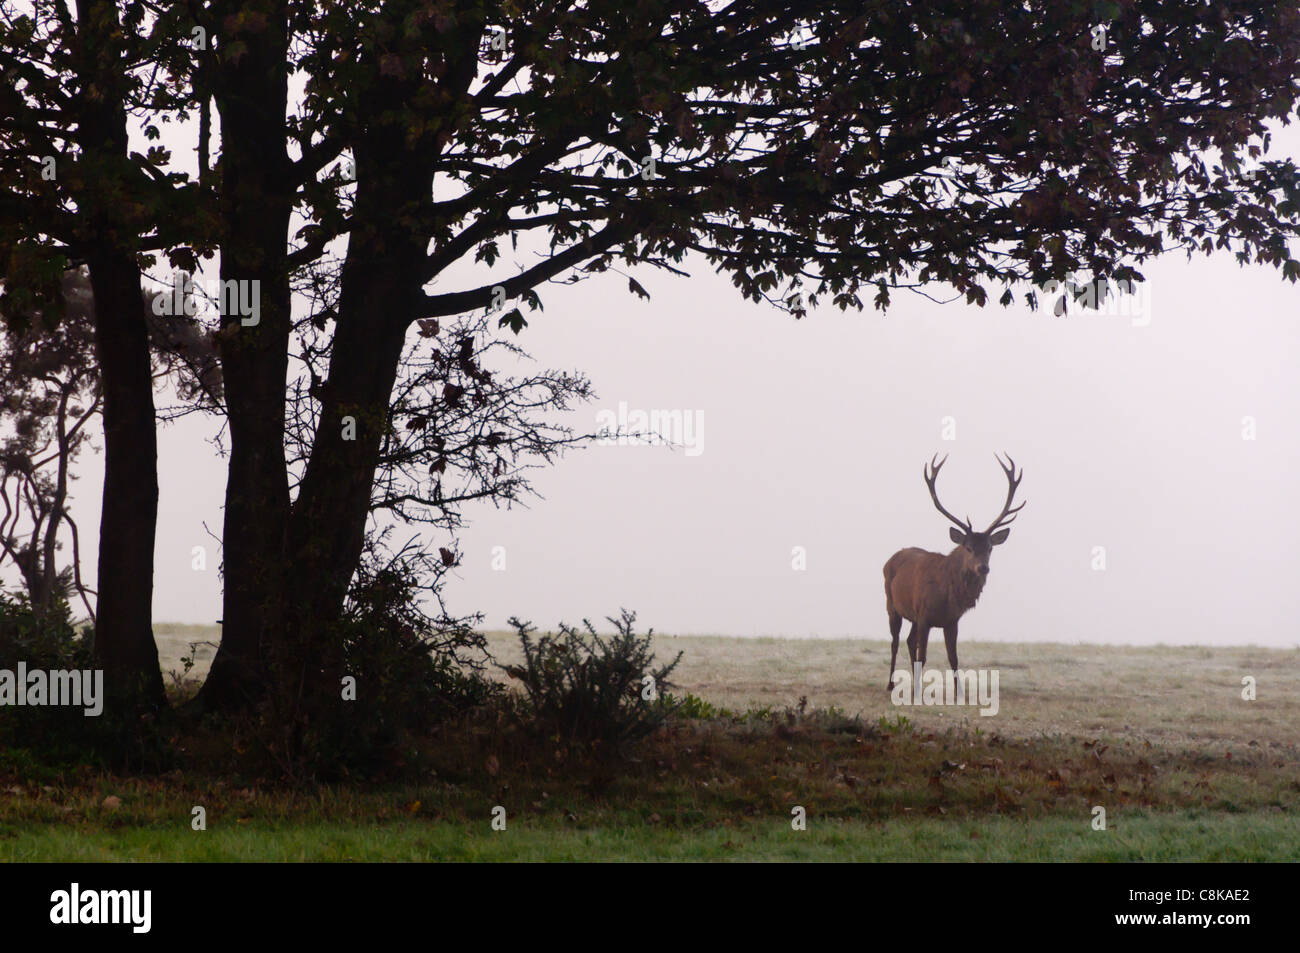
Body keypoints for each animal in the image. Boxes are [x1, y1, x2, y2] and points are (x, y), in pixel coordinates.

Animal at [883, 454, 1025, 692]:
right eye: (968, 547)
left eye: (990, 548)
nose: (983, 567)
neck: (946, 594)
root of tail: (892, 557)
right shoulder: (924, 615)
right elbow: (924, 655)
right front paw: (918, 692)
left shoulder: (951, 620)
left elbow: (953, 657)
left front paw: (959, 692)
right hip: (892, 604)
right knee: (895, 642)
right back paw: (891, 684)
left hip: (913, 615)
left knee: (909, 641)